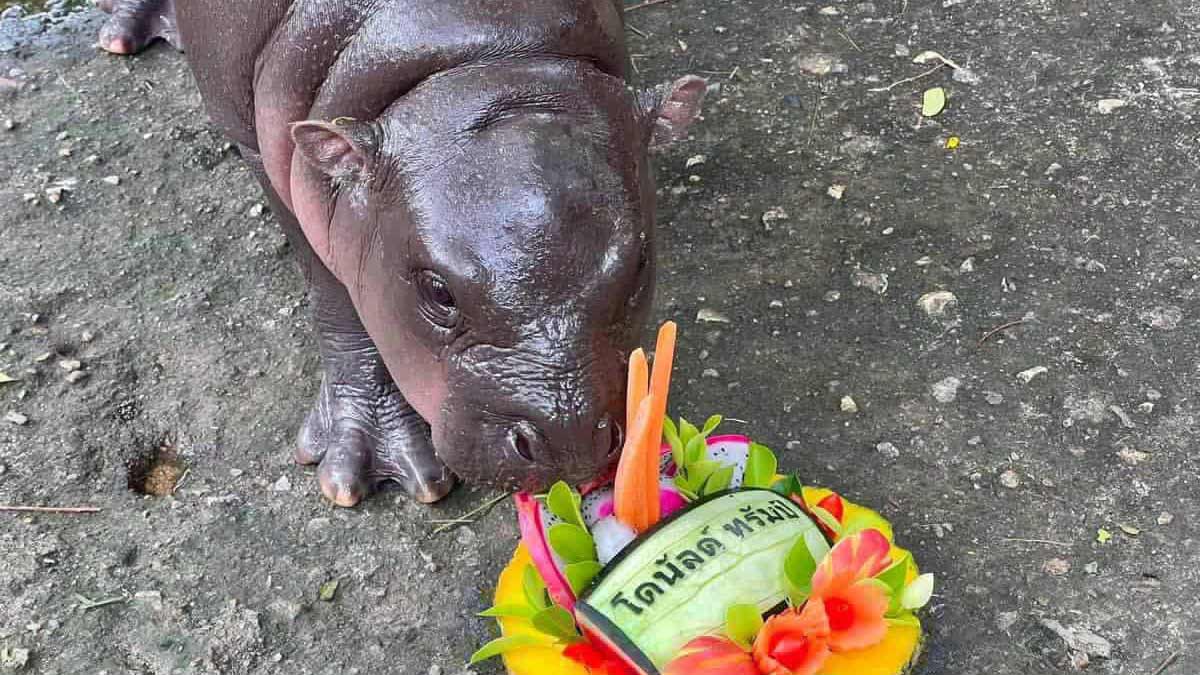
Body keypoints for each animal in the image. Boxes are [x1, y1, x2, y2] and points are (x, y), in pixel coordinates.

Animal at [95, 1, 706, 507]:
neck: (485, 52)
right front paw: (360, 466)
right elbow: (336, 294)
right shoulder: (269, 152)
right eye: (438, 292)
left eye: (639, 266)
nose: (570, 440)